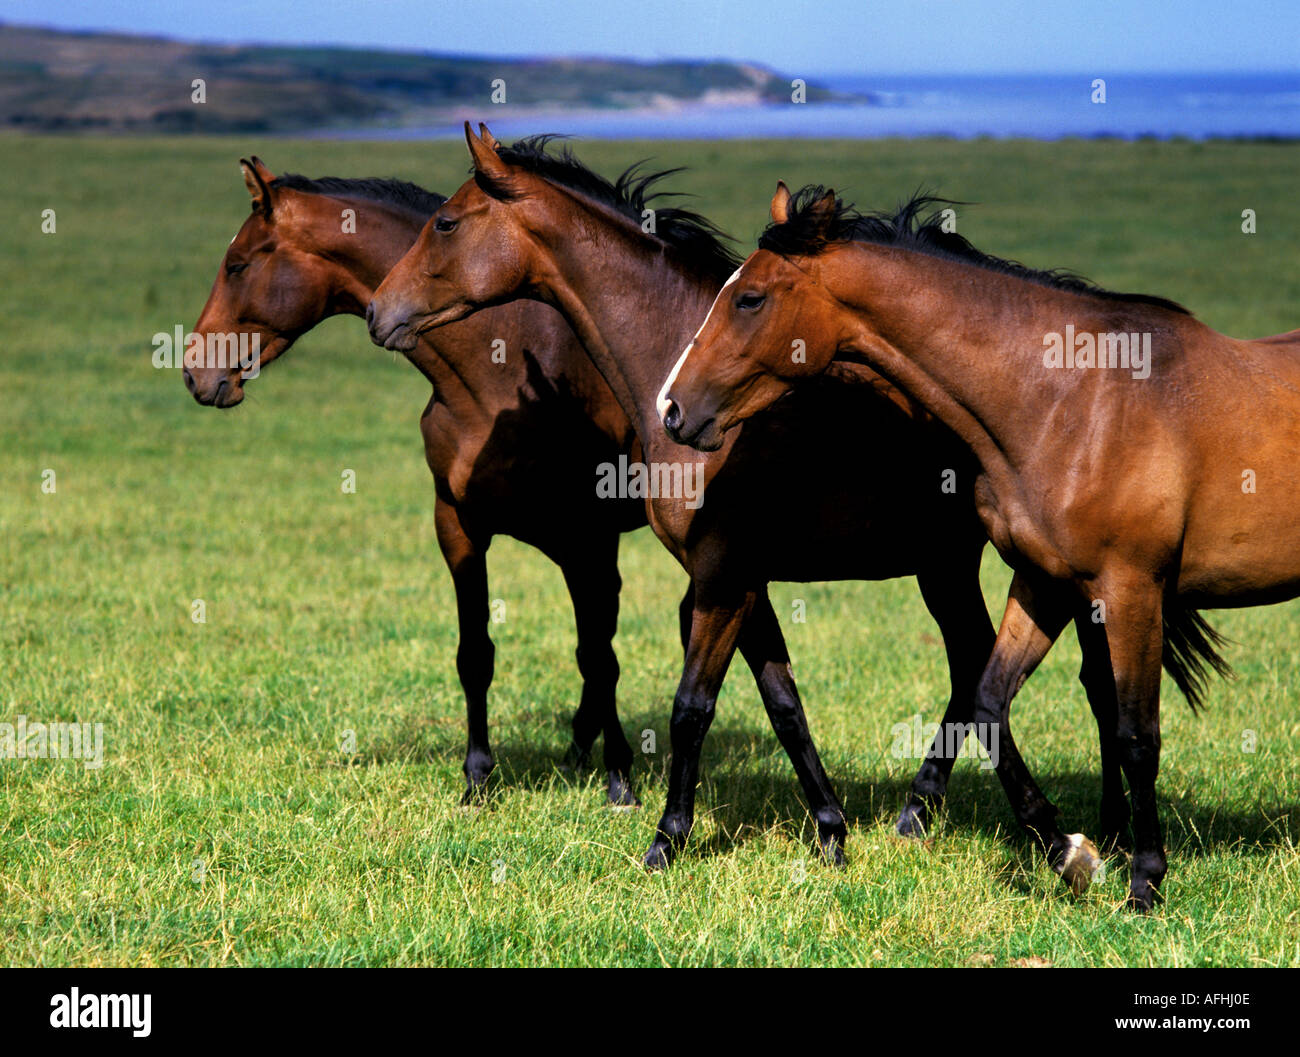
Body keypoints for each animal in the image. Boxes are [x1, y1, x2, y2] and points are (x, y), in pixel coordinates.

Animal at [186, 156, 657, 807]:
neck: (501, 368)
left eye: (236, 265)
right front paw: (478, 778)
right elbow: (477, 654)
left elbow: (598, 655)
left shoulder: (586, 536)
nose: (193, 372)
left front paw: (620, 781)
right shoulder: (459, 527)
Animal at [367, 125, 1124, 884]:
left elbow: (691, 707)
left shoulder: (721, 577)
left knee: (1052, 681)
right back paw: (952, 815)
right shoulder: (744, 581)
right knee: (1001, 675)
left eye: (445, 222)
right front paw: (831, 832)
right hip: (965, 568)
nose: (378, 310)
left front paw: (666, 841)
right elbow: (783, 701)